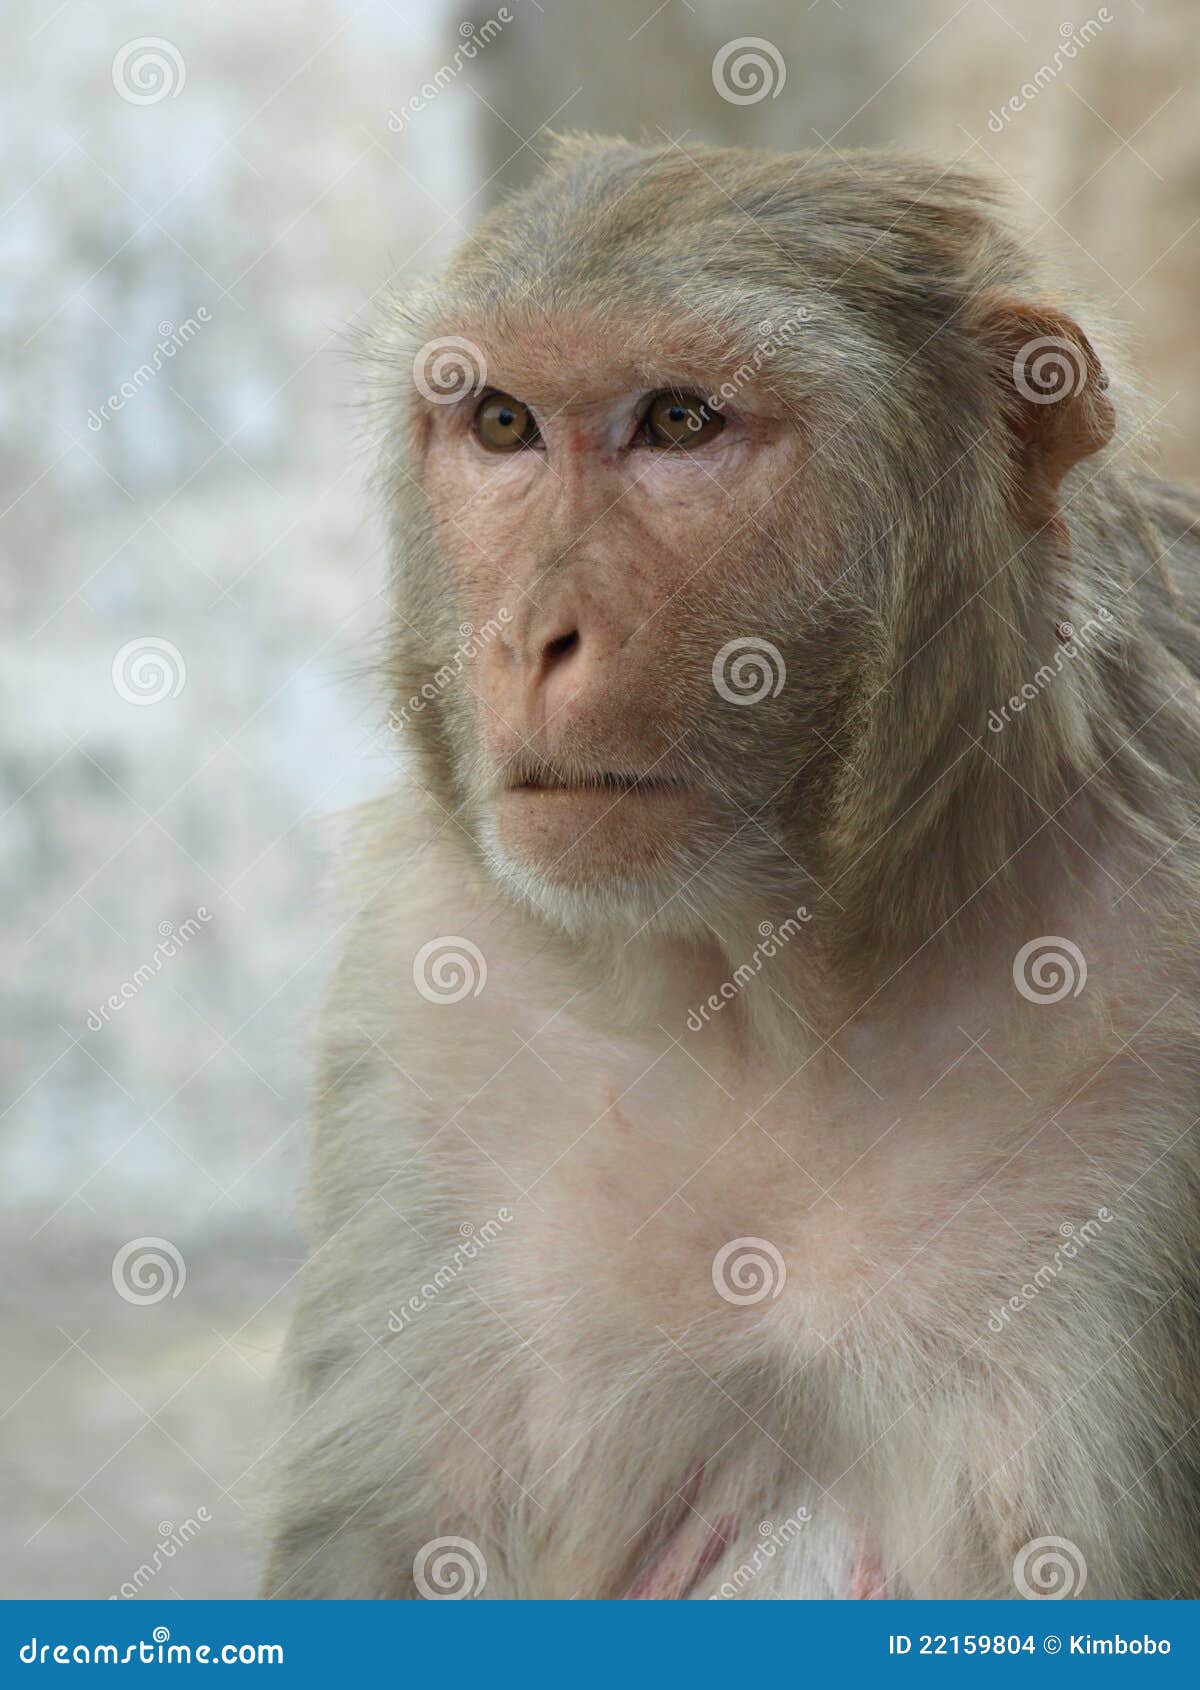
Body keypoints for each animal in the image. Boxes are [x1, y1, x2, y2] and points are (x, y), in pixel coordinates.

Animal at [260, 137, 1200, 1600]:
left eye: (682, 423)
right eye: (504, 427)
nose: (531, 636)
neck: (773, 977)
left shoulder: (1162, 1025)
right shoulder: (425, 998)